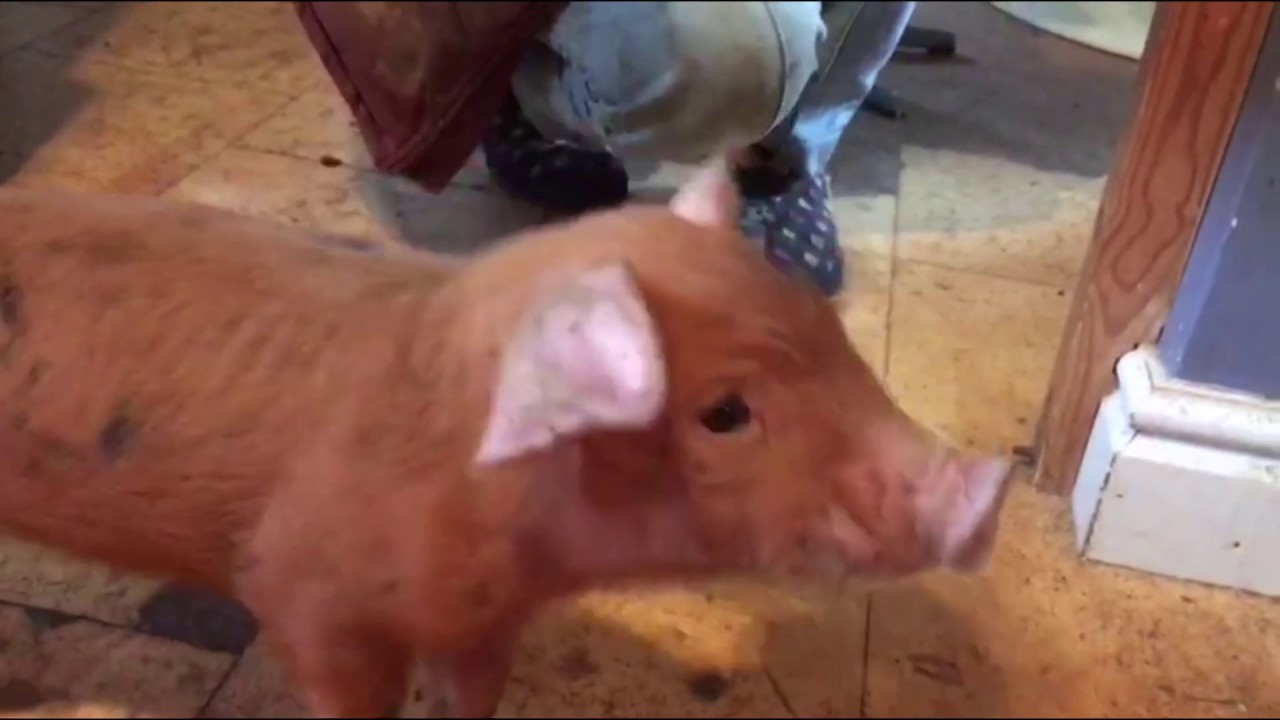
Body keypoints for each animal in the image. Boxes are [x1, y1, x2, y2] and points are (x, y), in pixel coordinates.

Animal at [0, 161, 1011, 718]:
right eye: (724, 412)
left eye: (831, 330)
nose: (988, 486)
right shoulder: (306, 598)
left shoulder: (488, 621)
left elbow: (476, 692)